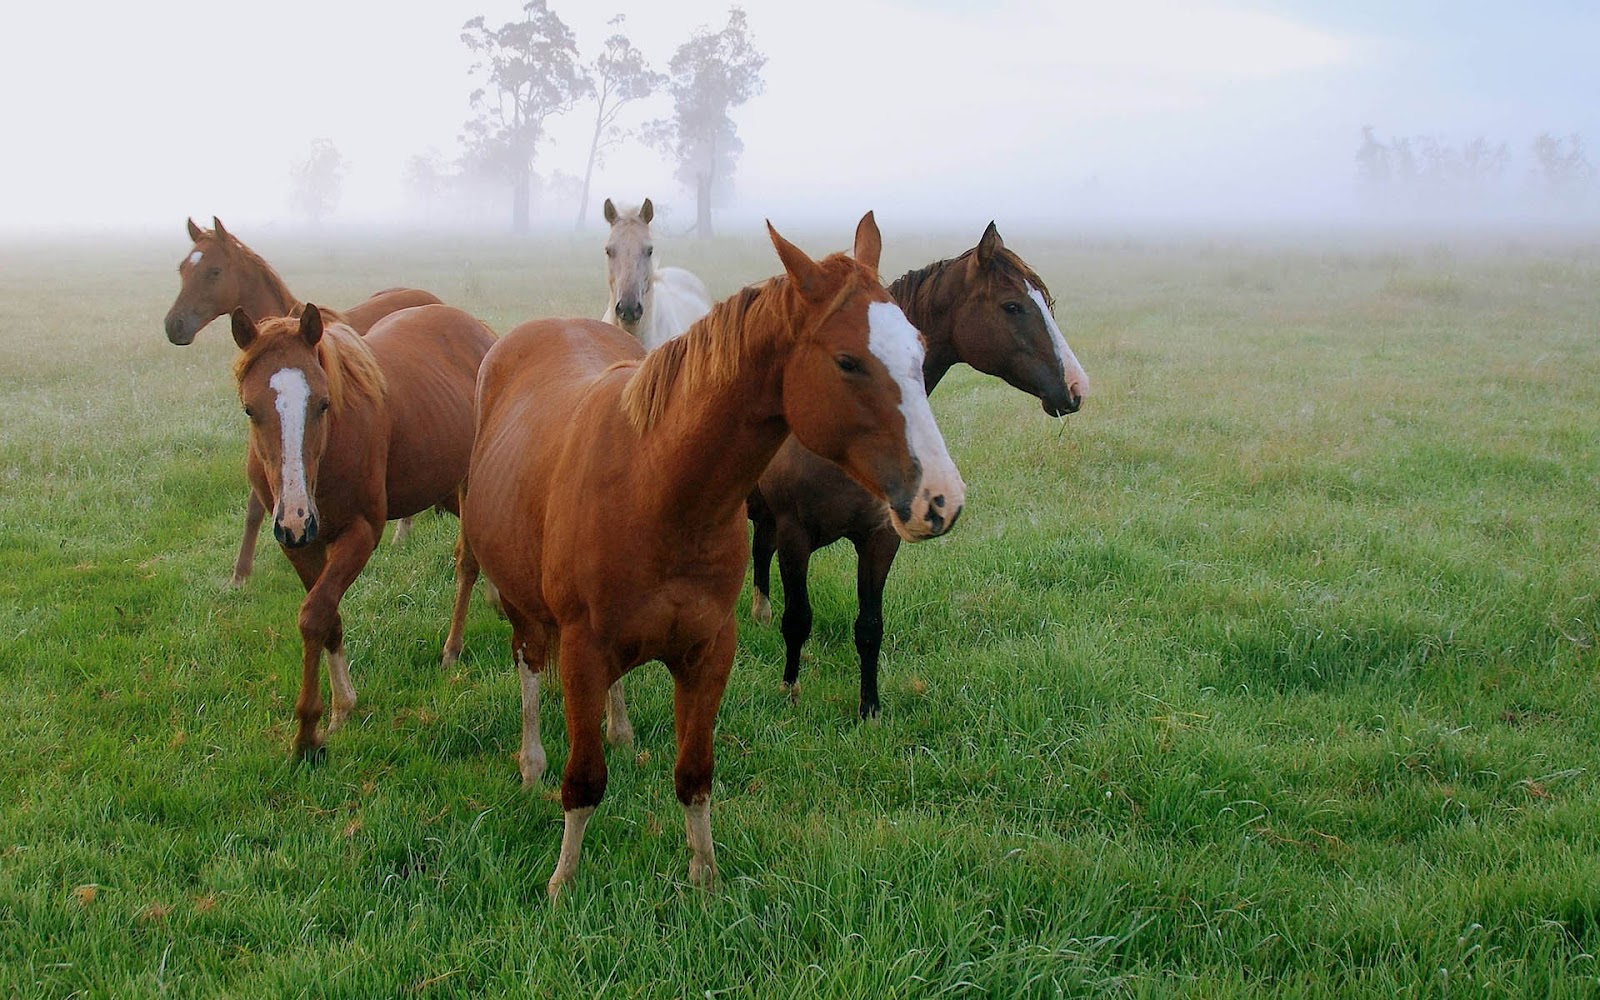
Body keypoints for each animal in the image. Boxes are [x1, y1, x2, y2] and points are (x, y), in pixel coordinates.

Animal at [164, 216, 443, 584]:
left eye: (213, 271)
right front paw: (240, 574)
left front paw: (241, 573)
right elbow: (256, 505)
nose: (174, 326)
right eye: (183, 268)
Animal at [229, 303, 495, 760]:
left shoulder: (360, 534)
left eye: (322, 404)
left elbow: (314, 615)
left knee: (468, 562)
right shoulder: (300, 547)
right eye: (250, 409)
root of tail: (481, 329)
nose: (296, 517)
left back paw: (453, 648)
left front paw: (308, 733)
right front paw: (342, 708)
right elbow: (328, 616)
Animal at [461, 213, 965, 896]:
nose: (941, 499)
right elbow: (584, 780)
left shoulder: (708, 650)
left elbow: (694, 775)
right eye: (848, 361)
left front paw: (705, 879)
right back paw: (532, 760)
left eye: (918, 349)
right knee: (530, 666)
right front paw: (563, 884)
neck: (656, 486)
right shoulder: (584, 648)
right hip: (523, 605)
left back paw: (620, 729)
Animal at [747, 222, 1090, 718]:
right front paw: (790, 691)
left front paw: (869, 710)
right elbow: (798, 620)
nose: (1076, 388)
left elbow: (869, 627)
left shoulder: (880, 539)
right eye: (1013, 306)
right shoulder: (796, 536)